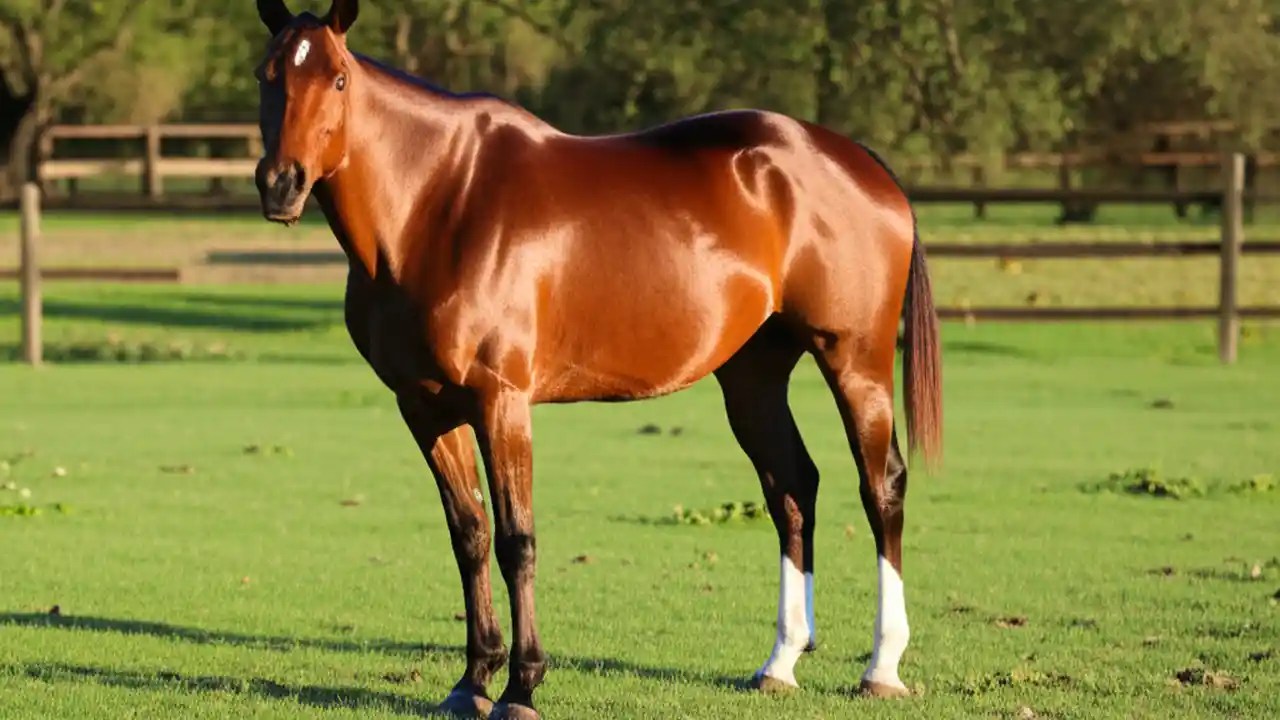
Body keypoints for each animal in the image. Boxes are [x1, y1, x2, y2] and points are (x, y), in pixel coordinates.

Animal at [251, 2, 942, 718]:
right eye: (266, 74)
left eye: (336, 78)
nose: (280, 184)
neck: (437, 204)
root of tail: (856, 161)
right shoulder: (424, 407)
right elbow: (469, 535)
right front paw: (472, 681)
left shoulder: (501, 403)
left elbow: (516, 540)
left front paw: (522, 685)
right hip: (753, 376)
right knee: (792, 489)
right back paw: (780, 661)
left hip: (855, 362)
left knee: (881, 487)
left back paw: (882, 666)